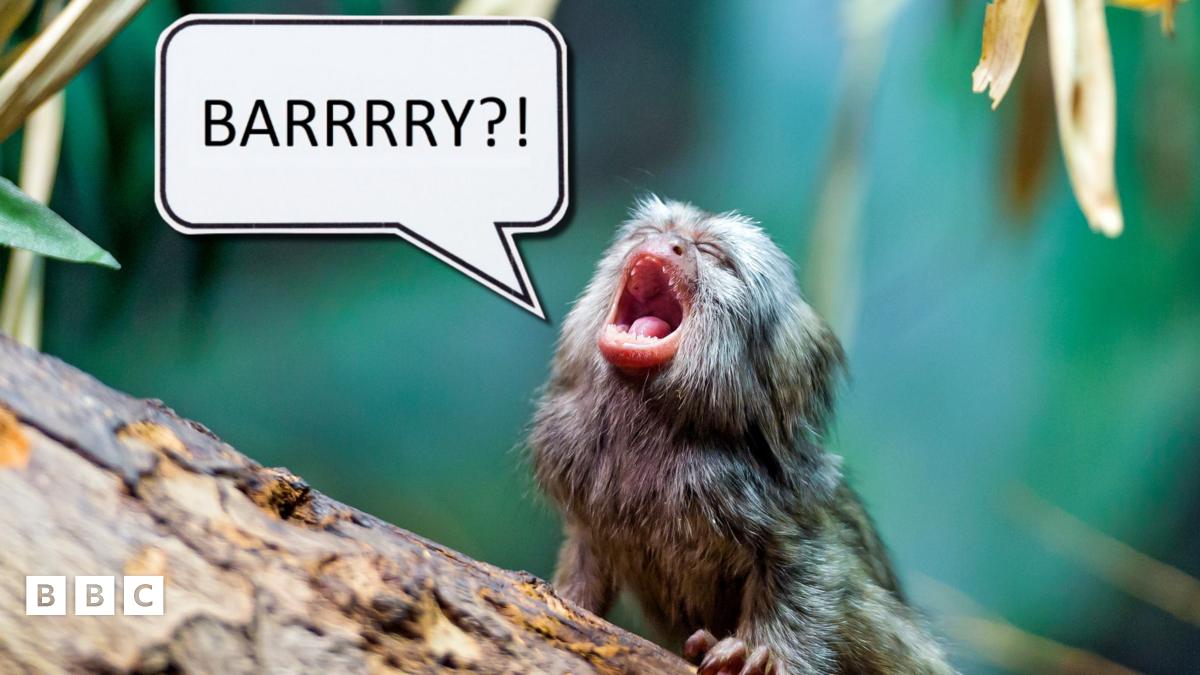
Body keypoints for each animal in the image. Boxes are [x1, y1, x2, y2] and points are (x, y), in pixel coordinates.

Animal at [529, 197, 954, 674]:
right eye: (652, 234)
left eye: (713, 254)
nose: (671, 244)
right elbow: (587, 556)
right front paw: (565, 596)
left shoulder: (783, 500)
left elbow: (816, 574)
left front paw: (759, 652)